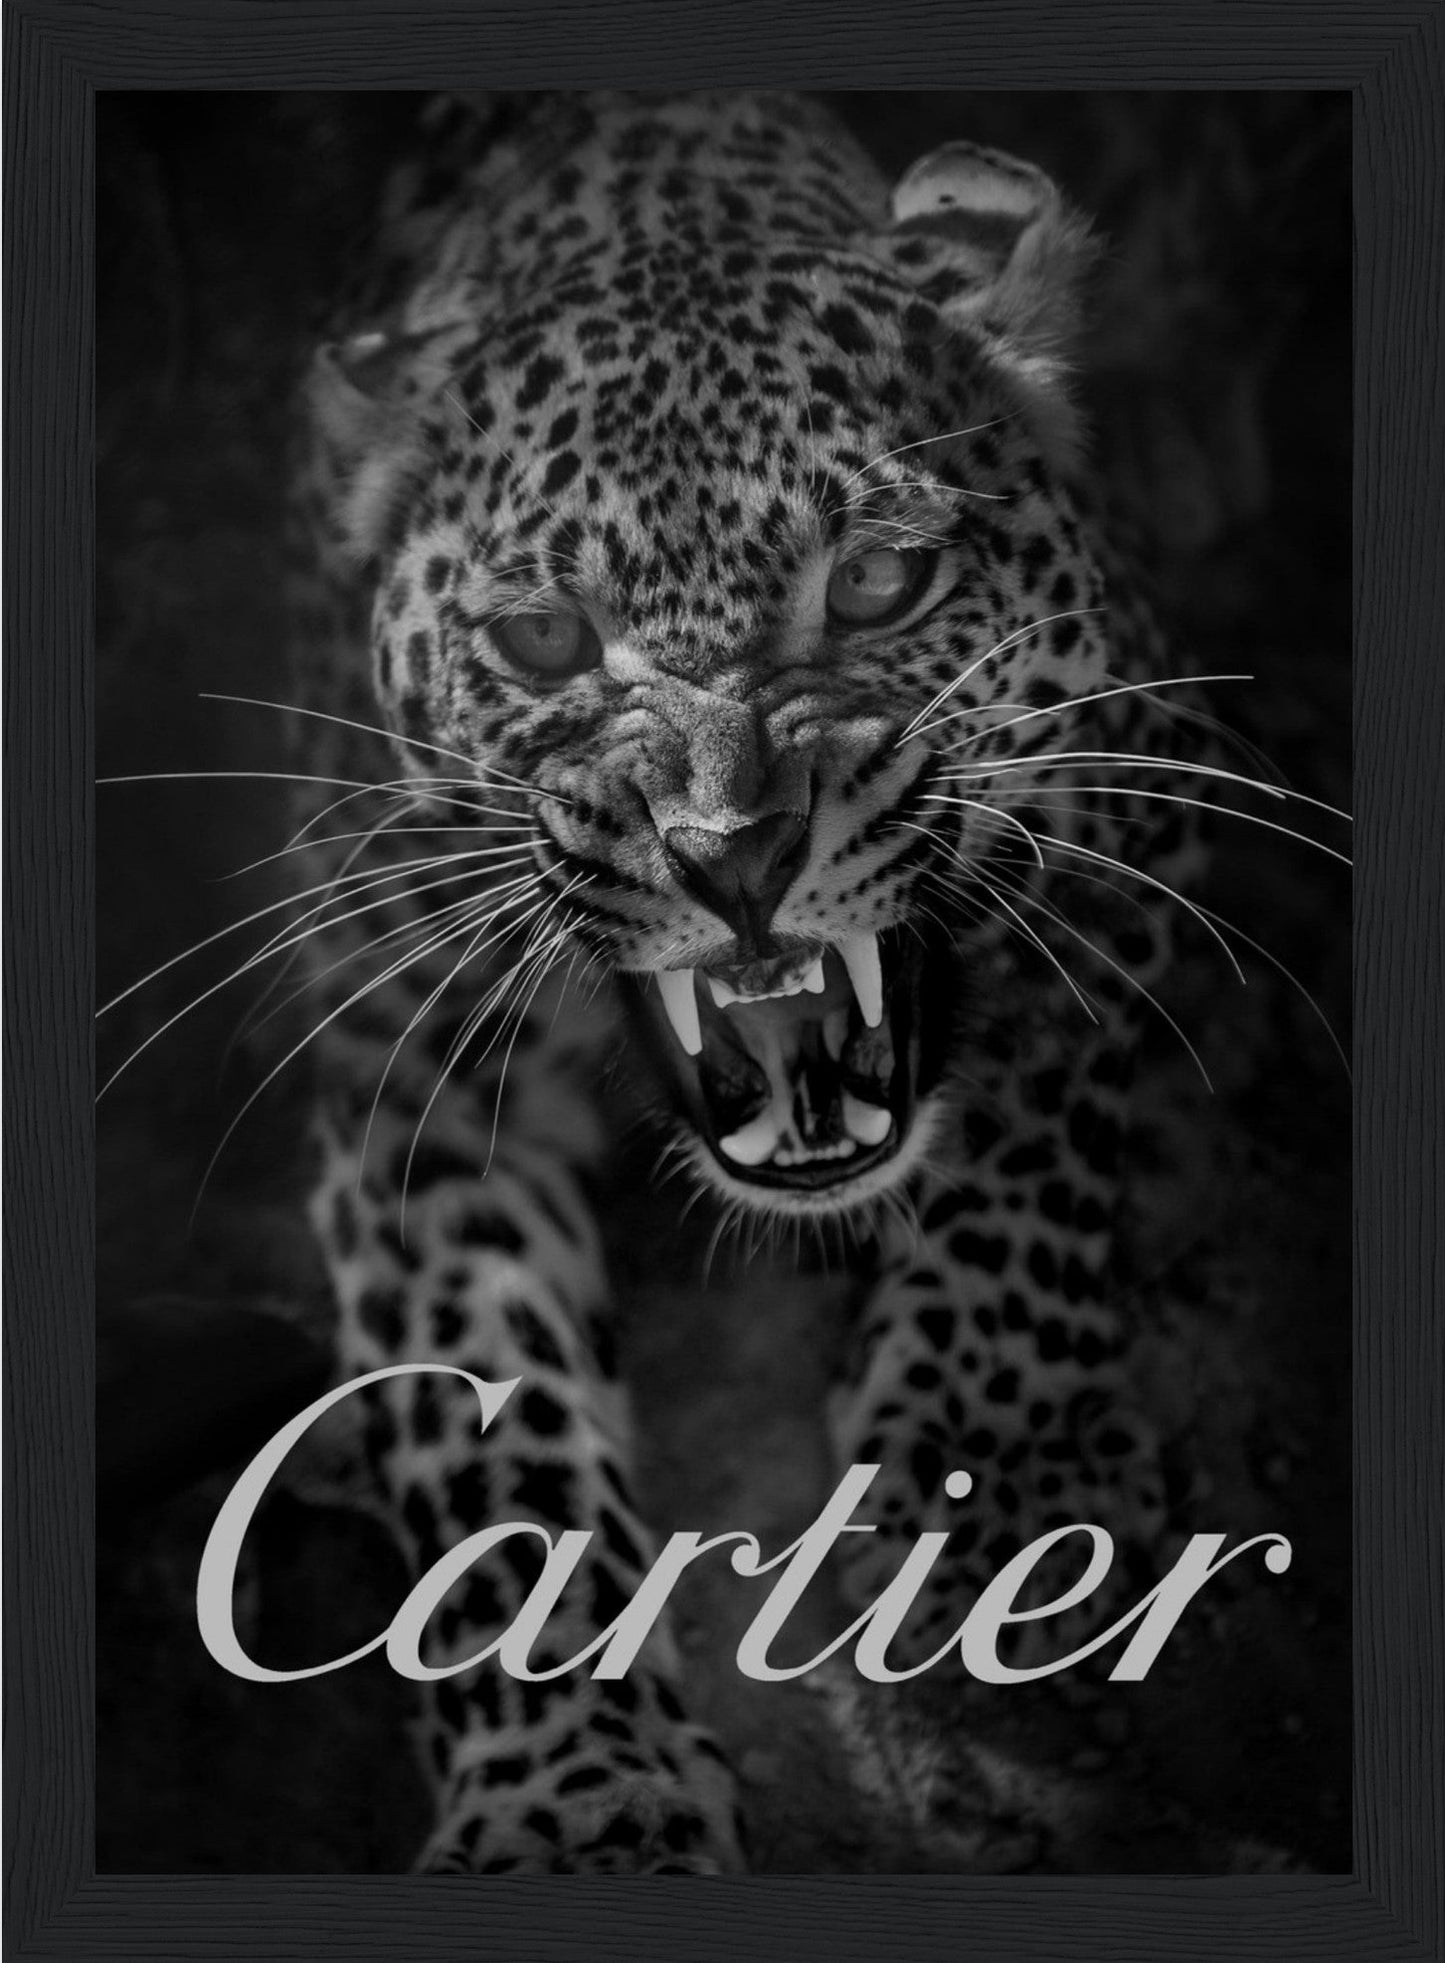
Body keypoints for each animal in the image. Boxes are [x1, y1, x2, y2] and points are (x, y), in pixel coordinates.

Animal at [280, 89, 1221, 1874]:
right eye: (543, 640)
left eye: (878, 583)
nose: (732, 853)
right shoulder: (400, 1047)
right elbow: (483, 1432)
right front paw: (572, 1794)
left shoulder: (1132, 820)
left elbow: (1028, 1180)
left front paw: (994, 1503)